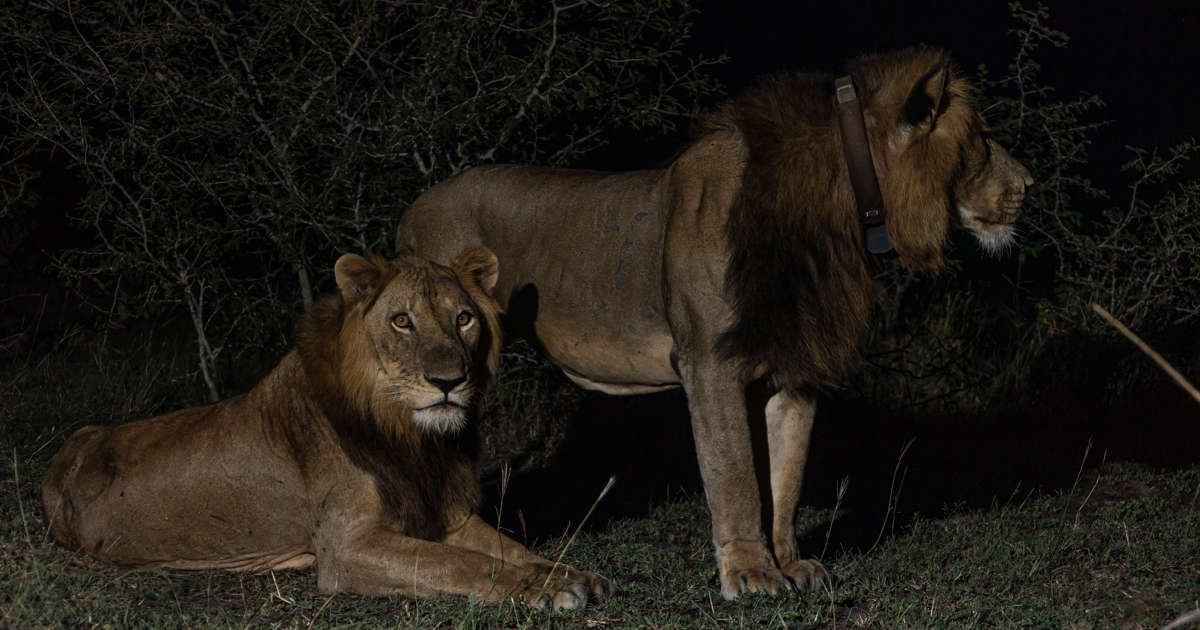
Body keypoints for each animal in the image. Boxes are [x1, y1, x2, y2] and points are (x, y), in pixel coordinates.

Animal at [41, 248, 612, 609]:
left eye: (464, 319)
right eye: (402, 321)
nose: (449, 382)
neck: (412, 437)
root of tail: (68, 450)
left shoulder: (445, 515)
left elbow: (509, 547)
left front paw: (568, 574)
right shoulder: (346, 548)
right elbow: (459, 565)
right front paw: (545, 589)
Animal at [395, 47, 1033, 600]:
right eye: (981, 139)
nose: (1028, 185)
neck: (836, 214)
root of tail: (413, 207)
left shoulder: (795, 364)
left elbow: (785, 478)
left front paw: (790, 565)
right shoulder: (708, 361)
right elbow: (736, 476)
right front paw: (750, 574)